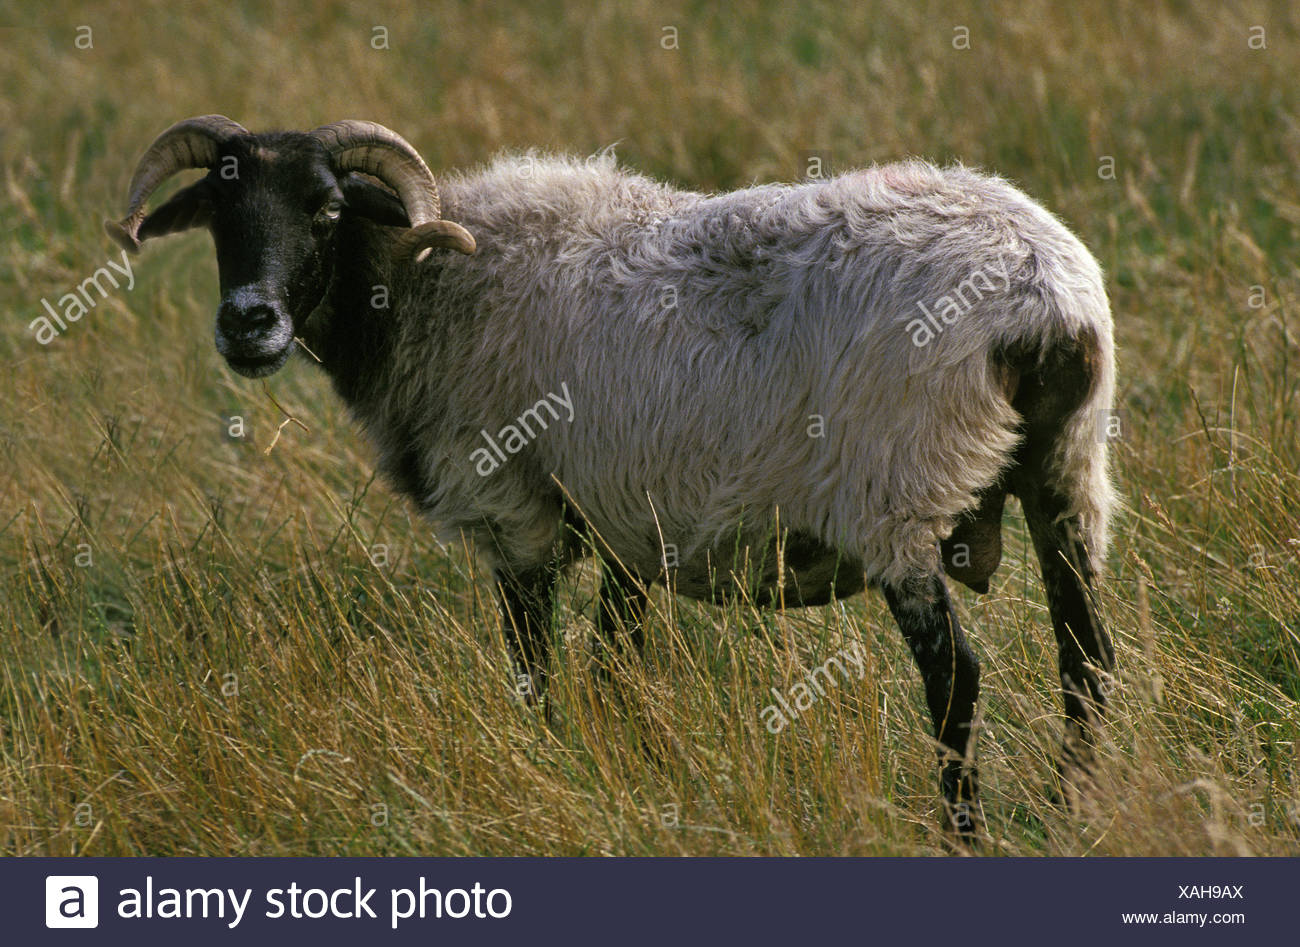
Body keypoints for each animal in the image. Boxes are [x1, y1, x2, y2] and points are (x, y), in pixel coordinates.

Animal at [107, 115, 1118, 838]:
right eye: (220, 215)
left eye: (324, 208)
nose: (249, 323)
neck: (428, 282)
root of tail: (1043, 299)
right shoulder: (631, 520)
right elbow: (615, 666)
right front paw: (632, 773)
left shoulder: (514, 506)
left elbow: (534, 668)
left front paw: (546, 765)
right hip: (1069, 476)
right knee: (1087, 655)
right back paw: (1071, 810)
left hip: (898, 494)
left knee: (955, 677)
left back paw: (962, 831)